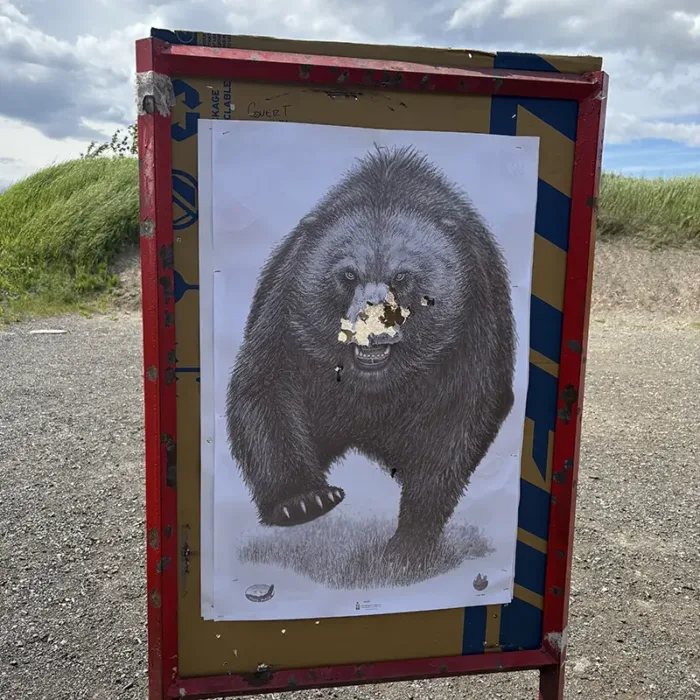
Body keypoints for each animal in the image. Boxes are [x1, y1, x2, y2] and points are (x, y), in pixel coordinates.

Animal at [225, 144, 517, 565]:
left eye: (402, 275)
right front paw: (304, 500)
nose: (370, 322)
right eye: (348, 274)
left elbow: (456, 422)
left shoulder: (471, 327)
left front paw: (410, 539)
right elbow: (265, 389)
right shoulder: (291, 318)